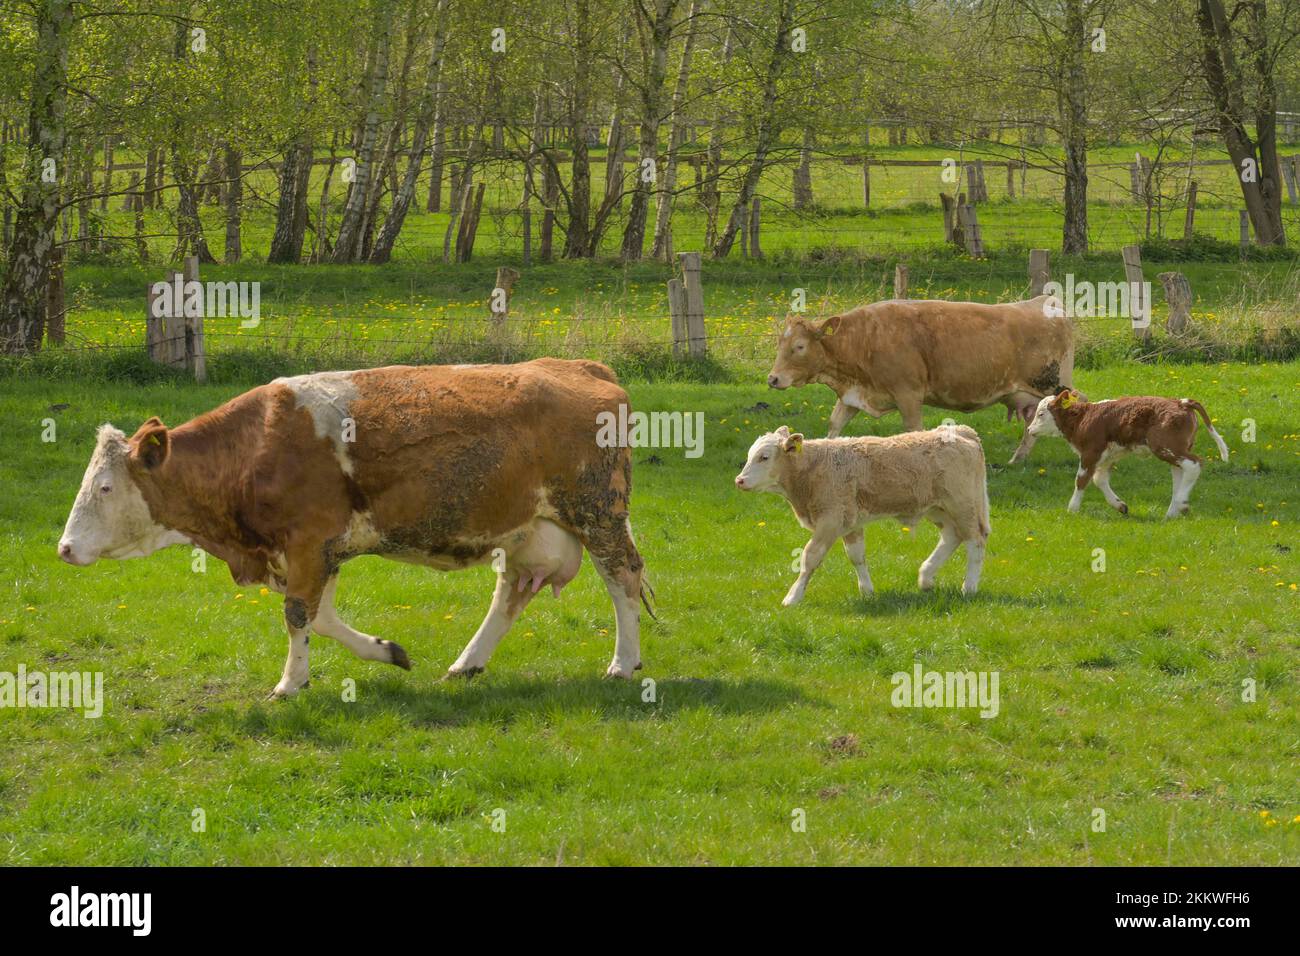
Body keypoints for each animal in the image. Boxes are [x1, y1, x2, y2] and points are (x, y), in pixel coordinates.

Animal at [57, 359, 650, 699]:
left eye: (105, 488)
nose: (64, 548)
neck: (258, 447)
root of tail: (584, 367)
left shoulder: (309, 541)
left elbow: (299, 615)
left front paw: (290, 683)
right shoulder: (320, 551)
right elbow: (320, 618)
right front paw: (386, 652)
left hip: (597, 513)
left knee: (622, 578)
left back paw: (623, 664)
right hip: (526, 531)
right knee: (509, 596)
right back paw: (467, 664)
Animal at [734, 424, 990, 605]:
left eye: (764, 457)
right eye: (749, 455)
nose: (740, 480)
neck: (814, 468)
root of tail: (960, 431)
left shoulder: (831, 520)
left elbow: (810, 557)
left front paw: (793, 597)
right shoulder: (851, 522)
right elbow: (856, 555)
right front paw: (867, 591)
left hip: (963, 505)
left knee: (975, 541)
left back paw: (969, 587)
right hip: (938, 509)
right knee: (952, 536)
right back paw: (926, 578)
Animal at [766, 296, 1075, 463]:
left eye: (799, 347)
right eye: (780, 343)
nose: (773, 379)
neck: (864, 340)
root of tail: (1045, 302)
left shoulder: (908, 394)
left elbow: (912, 429)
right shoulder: (853, 395)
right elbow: (834, 426)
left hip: (1056, 386)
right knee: (1031, 425)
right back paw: (1017, 458)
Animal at [1025, 389, 1230, 518]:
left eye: (1041, 414)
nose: (1029, 429)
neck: (1083, 418)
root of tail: (1181, 402)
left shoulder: (1091, 451)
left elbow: (1081, 480)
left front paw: (1072, 509)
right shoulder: (1108, 456)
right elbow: (1099, 479)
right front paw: (1120, 505)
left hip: (1166, 446)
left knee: (1193, 464)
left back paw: (1181, 503)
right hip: (1176, 448)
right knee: (1180, 474)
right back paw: (1173, 512)